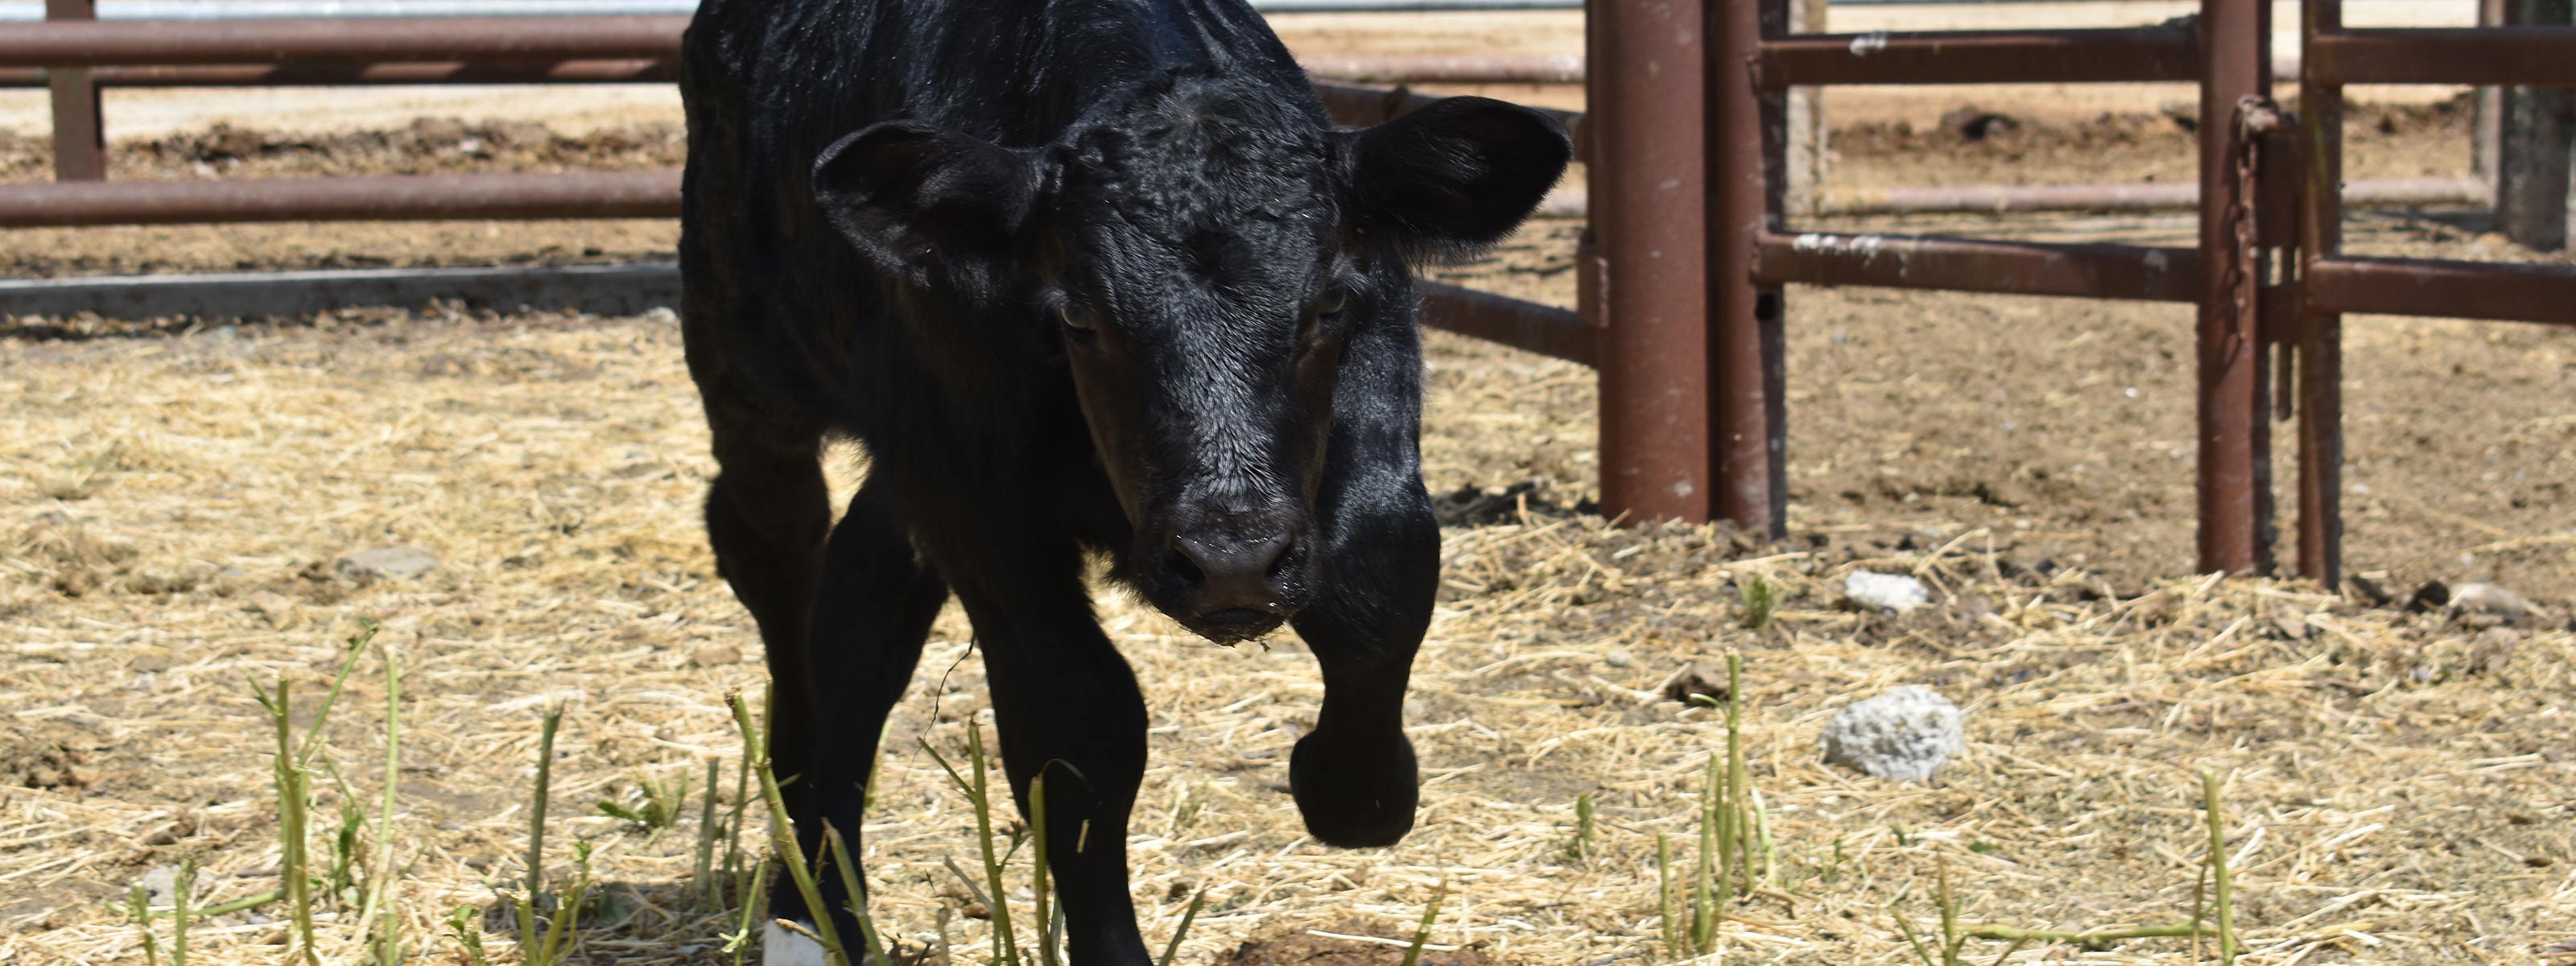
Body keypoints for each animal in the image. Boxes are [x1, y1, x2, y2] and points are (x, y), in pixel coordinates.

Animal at [676, 0, 1569, 962]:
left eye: (1329, 300)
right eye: (1078, 312)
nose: (1230, 561)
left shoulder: (1376, 388)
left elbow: (1381, 582)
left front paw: (1354, 789)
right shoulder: (969, 482)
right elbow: (1077, 719)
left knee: (861, 596)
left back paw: (824, 895)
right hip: (742, 365)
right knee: (778, 559)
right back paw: (797, 876)